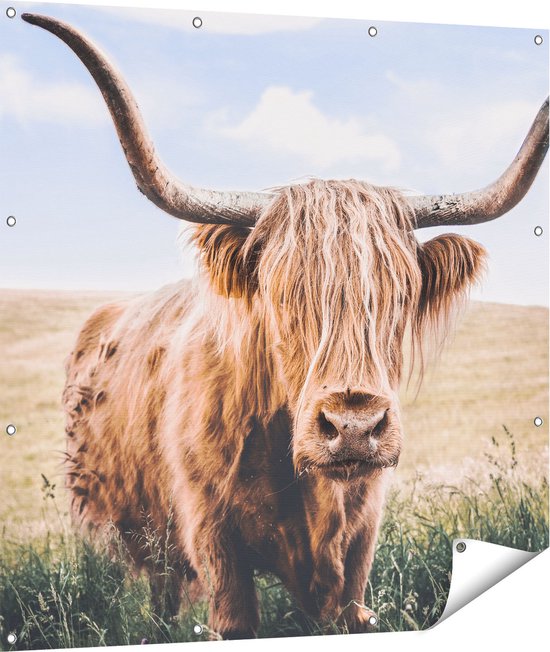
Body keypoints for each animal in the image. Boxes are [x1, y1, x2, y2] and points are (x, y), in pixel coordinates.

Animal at [23, 13, 549, 640]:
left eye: (398, 296)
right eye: (282, 294)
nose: (353, 426)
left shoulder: (359, 547)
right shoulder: (213, 542)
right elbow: (233, 618)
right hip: (138, 536)